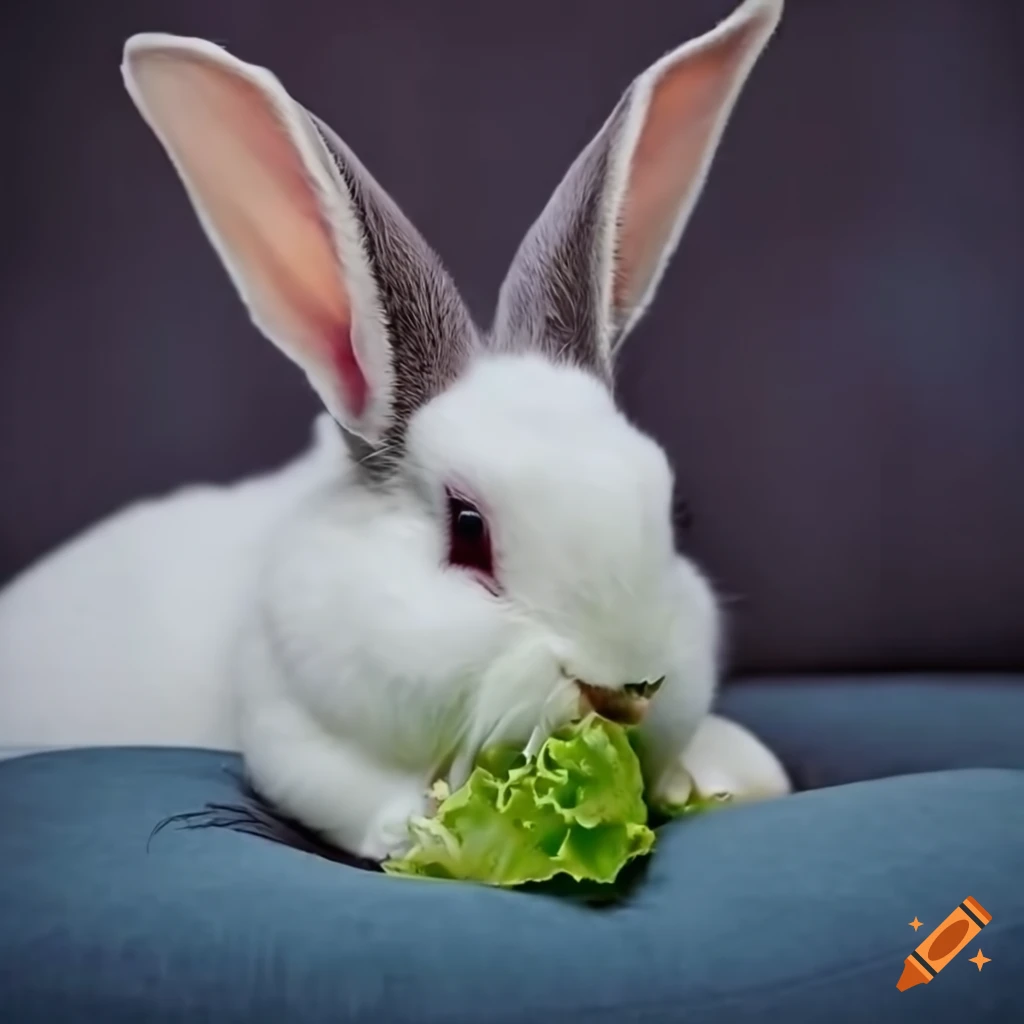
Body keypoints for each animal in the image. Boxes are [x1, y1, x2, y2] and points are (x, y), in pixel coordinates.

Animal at [0, 0, 790, 856]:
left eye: (674, 514)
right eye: (467, 528)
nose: (622, 688)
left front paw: (735, 775)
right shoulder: (282, 718)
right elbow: (339, 784)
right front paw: (420, 830)